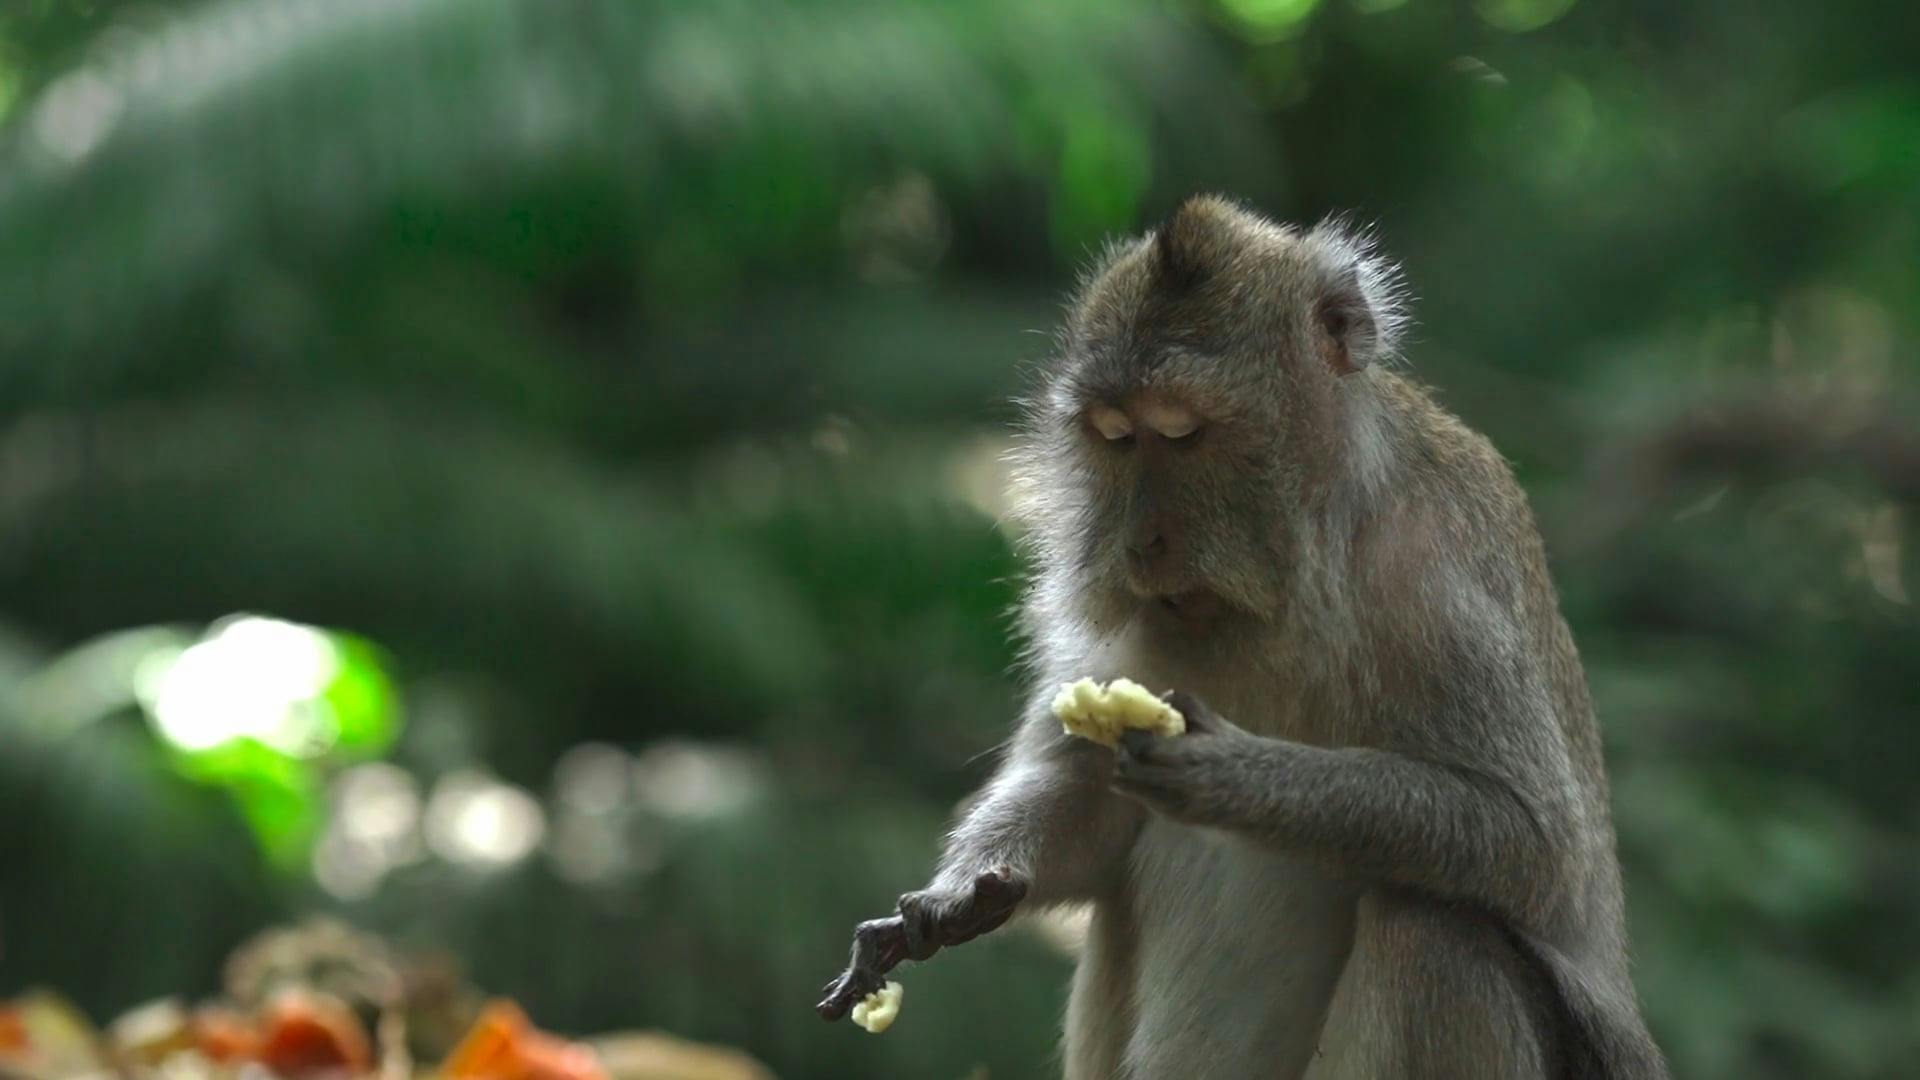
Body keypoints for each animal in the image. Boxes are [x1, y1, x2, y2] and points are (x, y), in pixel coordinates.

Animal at [818, 195, 1667, 1080]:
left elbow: (1534, 846)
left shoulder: (1437, 571)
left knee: (1435, 928)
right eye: (1115, 436)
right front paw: (960, 894)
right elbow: (1088, 802)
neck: (1285, 578)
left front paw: (1232, 775)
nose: (1142, 545)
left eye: (1182, 432)